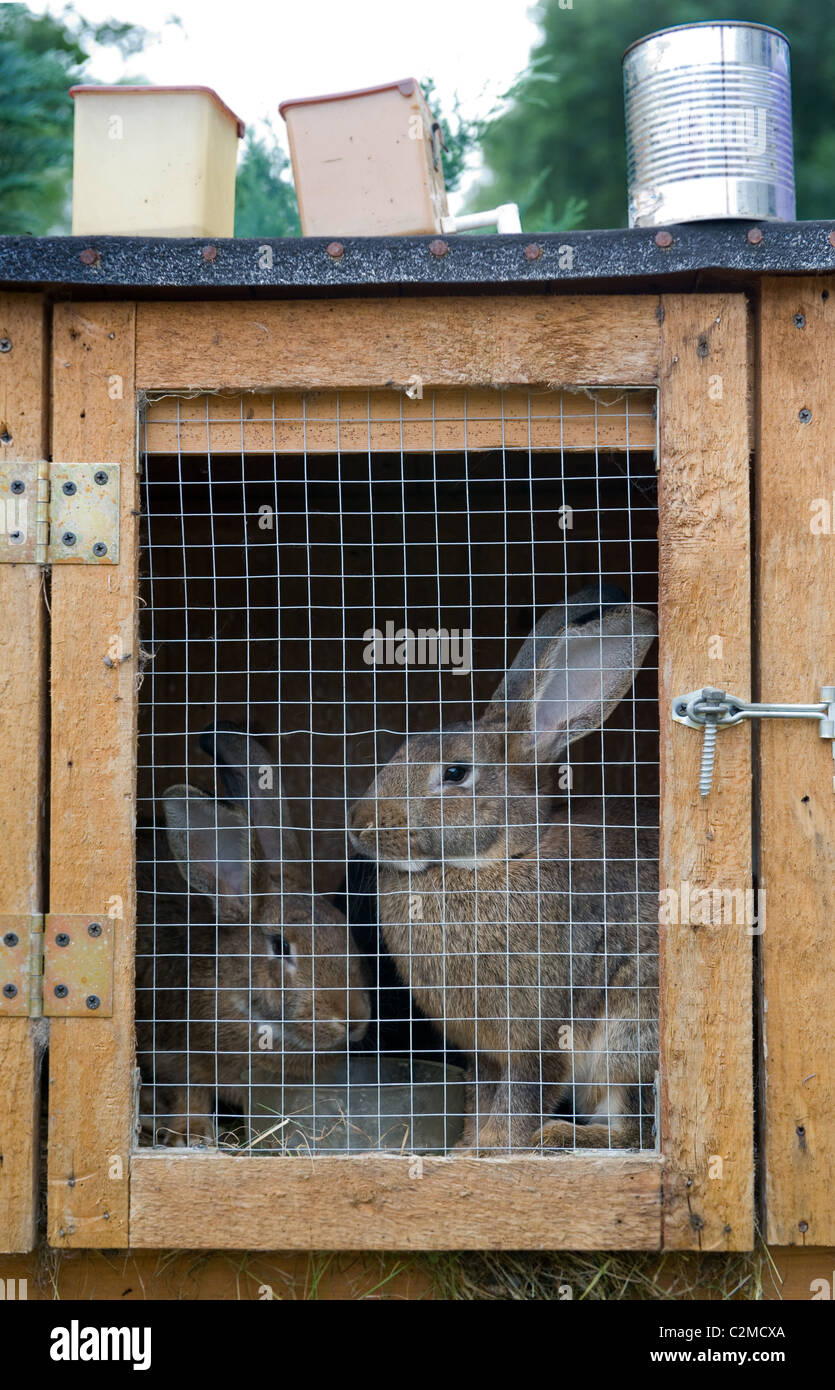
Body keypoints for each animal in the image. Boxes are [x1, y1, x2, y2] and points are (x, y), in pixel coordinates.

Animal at [136, 724, 371, 1146]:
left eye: (346, 933)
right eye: (280, 945)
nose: (355, 1019)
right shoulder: (174, 1054)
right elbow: (189, 1091)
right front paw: (192, 1135)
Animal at [349, 590, 658, 1153]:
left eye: (455, 773)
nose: (360, 826)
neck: (496, 861)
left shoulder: (544, 1030)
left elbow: (525, 1093)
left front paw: (494, 1148)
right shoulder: (485, 1052)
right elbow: (482, 1094)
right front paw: (467, 1147)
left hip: (630, 1035)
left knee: (634, 1128)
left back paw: (559, 1136)